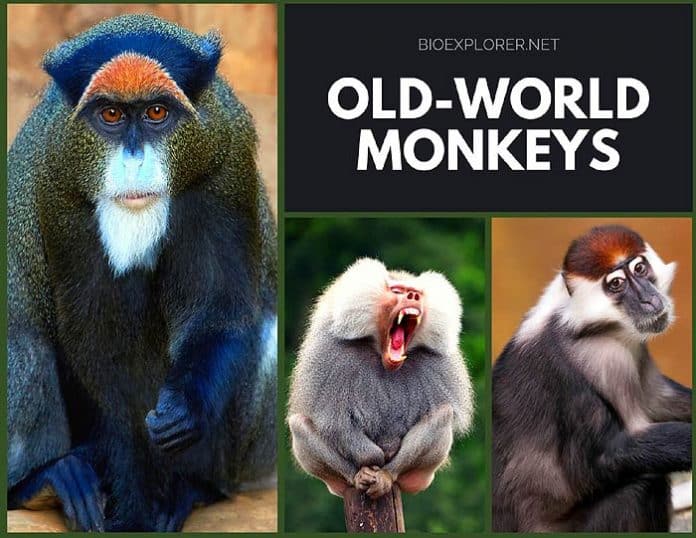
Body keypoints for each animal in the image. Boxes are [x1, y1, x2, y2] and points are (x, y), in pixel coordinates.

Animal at [8, 14, 277, 531]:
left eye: (156, 113)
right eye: (111, 116)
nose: (133, 161)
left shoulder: (226, 159)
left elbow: (220, 311)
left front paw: (183, 411)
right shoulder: (59, 187)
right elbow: (98, 357)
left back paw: (195, 488)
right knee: (23, 342)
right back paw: (41, 482)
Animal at [288, 258, 473, 501]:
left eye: (417, 293)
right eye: (397, 291)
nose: (413, 296)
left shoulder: (439, 366)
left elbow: (440, 414)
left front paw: (388, 455)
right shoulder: (330, 355)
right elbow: (335, 423)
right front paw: (374, 457)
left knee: (442, 416)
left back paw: (386, 475)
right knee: (298, 425)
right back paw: (359, 476)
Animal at [492, 225, 692, 532]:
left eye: (640, 268)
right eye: (617, 284)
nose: (649, 300)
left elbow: (659, 400)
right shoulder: (598, 360)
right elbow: (604, 458)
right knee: (645, 487)